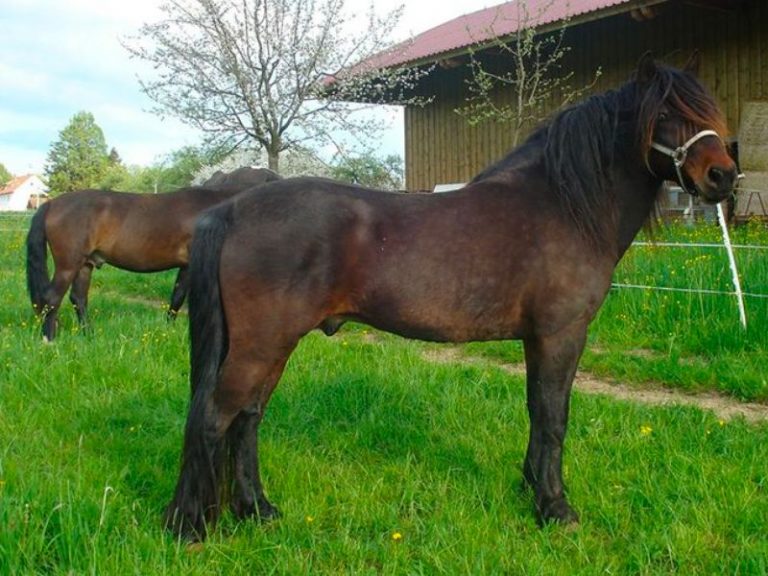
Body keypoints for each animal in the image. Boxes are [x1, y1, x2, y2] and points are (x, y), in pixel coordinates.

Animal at [25, 167, 281, 341]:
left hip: (84, 265)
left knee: (78, 299)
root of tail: (52, 204)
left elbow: (176, 298)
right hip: (68, 264)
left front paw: (168, 330)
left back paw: (89, 336)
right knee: (52, 298)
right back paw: (49, 340)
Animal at [164, 54, 737, 541]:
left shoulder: (538, 339)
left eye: (711, 110)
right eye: (667, 112)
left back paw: (257, 511)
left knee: (246, 419)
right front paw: (556, 508)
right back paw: (191, 527)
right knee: (214, 417)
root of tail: (231, 209)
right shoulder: (561, 334)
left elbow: (537, 411)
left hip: (271, 345)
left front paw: (531, 488)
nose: (723, 176)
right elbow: (554, 417)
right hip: (262, 343)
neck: (562, 206)